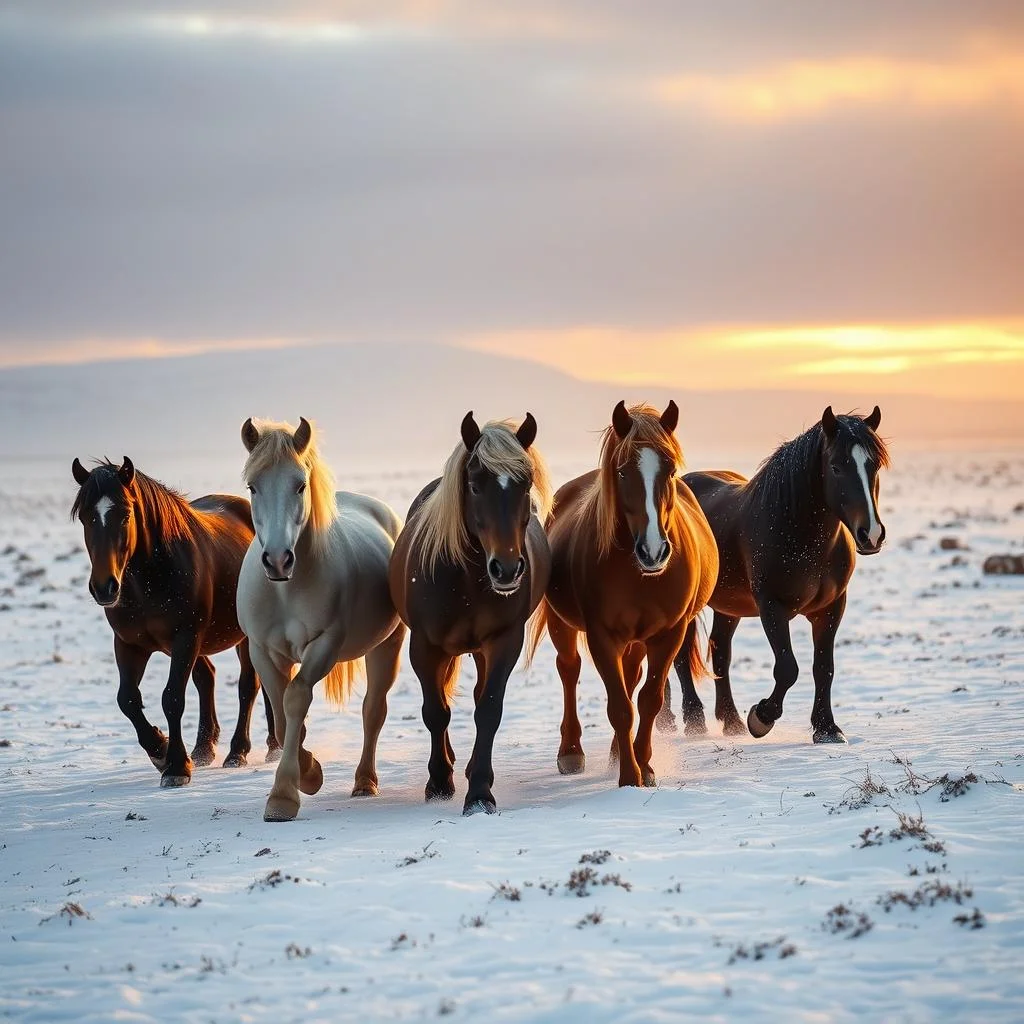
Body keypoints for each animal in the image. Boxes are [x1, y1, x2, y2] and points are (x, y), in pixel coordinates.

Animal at [71, 457, 278, 786]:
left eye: (125, 514)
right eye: (85, 516)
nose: (104, 587)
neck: (151, 577)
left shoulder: (185, 638)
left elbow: (172, 699)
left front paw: (177, 767)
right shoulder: (129, 644)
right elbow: (127, 699)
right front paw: (160, 750)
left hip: (244, 636)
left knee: (250, 684)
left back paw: (244, 751)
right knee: (208, 678)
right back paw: (208, 749)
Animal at [236, 417, 405, 822]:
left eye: (300, 485)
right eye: (253, 486)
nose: (278, 560)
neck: (285, 591)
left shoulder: (324, 645)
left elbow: (296, 699)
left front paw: (288, 792)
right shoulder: (262, 651)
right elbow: (282, 716)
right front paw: (307, 768)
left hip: (386, 647)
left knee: (373, 710)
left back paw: (364, 782)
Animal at [389, 412, 552, 815]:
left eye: (525, 486)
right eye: (475, 486)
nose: (506, 570)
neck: (465, 581)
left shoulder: (503, 642)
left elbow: (488, 709)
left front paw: (479, 792)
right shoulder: (424, 646)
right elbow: (435, 711)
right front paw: (438, 782)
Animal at [528, 401, 719, 788]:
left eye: (670, 469)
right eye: (621, 472)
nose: (653, 551)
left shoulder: (668, 633)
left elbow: (648, 700)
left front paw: (644, 766)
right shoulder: (602, 636)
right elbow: (618, 707)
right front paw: (630, 777)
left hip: (638, 639)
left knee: (630, 678)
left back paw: (620, 751)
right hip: (561, 623)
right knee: (569, 669)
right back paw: (571, 752)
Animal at [659, 406, 889, 744]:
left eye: (874, 466)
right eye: (835, 467)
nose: (871, 535)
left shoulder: (830, 609)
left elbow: (824, 668)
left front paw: (827, 729)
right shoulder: (772, 606)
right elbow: (787, 668)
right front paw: (762, 717)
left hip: (729, 607)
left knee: (720, 651)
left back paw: (730, 721)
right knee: (680, 657)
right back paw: (693, 721)